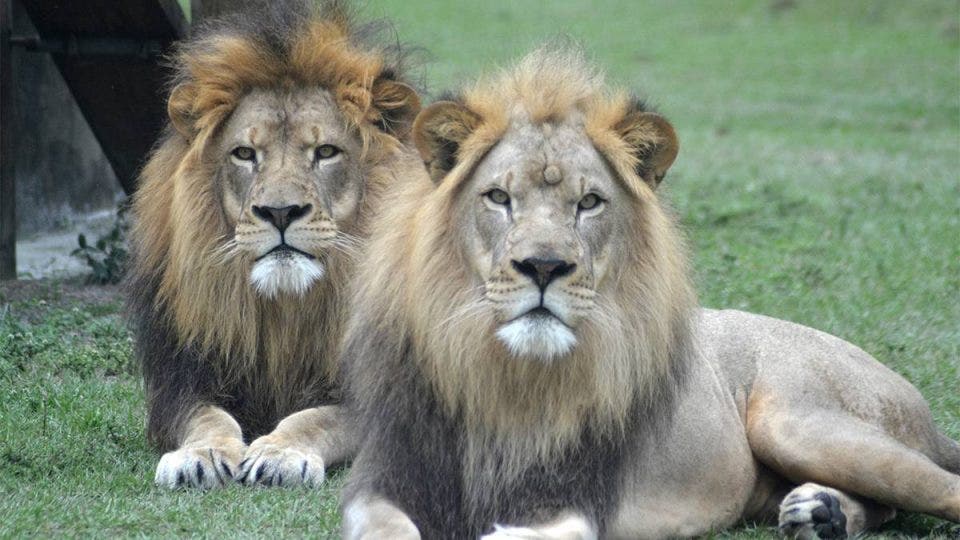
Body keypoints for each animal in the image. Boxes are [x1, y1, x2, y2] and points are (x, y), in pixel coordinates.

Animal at [125, 0, 421, 489]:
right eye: (245, 154)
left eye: (325, 152)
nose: (280, 213)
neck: (287, 309)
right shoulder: (182, 380)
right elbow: (205, 417)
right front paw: (200, 455)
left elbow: (319, 417)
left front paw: (282, 453)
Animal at [339, 46, 960, 538]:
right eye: (498, 197)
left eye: (589, 203)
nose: (544, 265)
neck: (503, 377)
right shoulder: (383, 485)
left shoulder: (571, 505)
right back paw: (820, 512)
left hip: (797, 422)